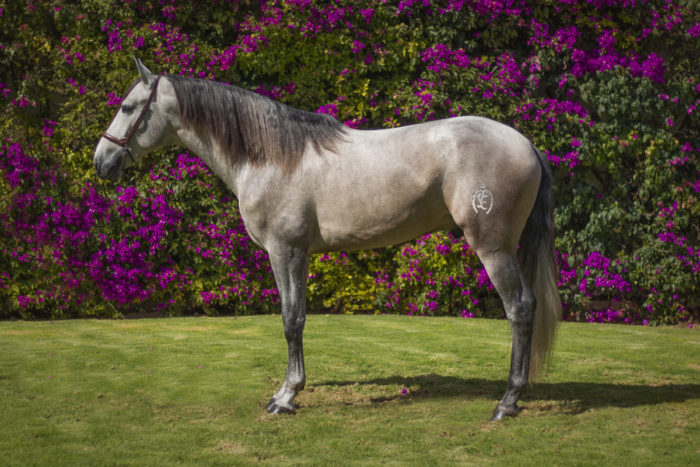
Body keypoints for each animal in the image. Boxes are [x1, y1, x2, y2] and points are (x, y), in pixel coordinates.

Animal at [94, 57, 561, 420]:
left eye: (128, 106)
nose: (102, 161)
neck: (272, 156)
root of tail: (527, 145)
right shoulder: (296, 254)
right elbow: (297, 318)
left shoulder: (285, 251)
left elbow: (291, 321)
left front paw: (285, 397)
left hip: (493, 247)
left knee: (520, 309)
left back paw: (507, 402)